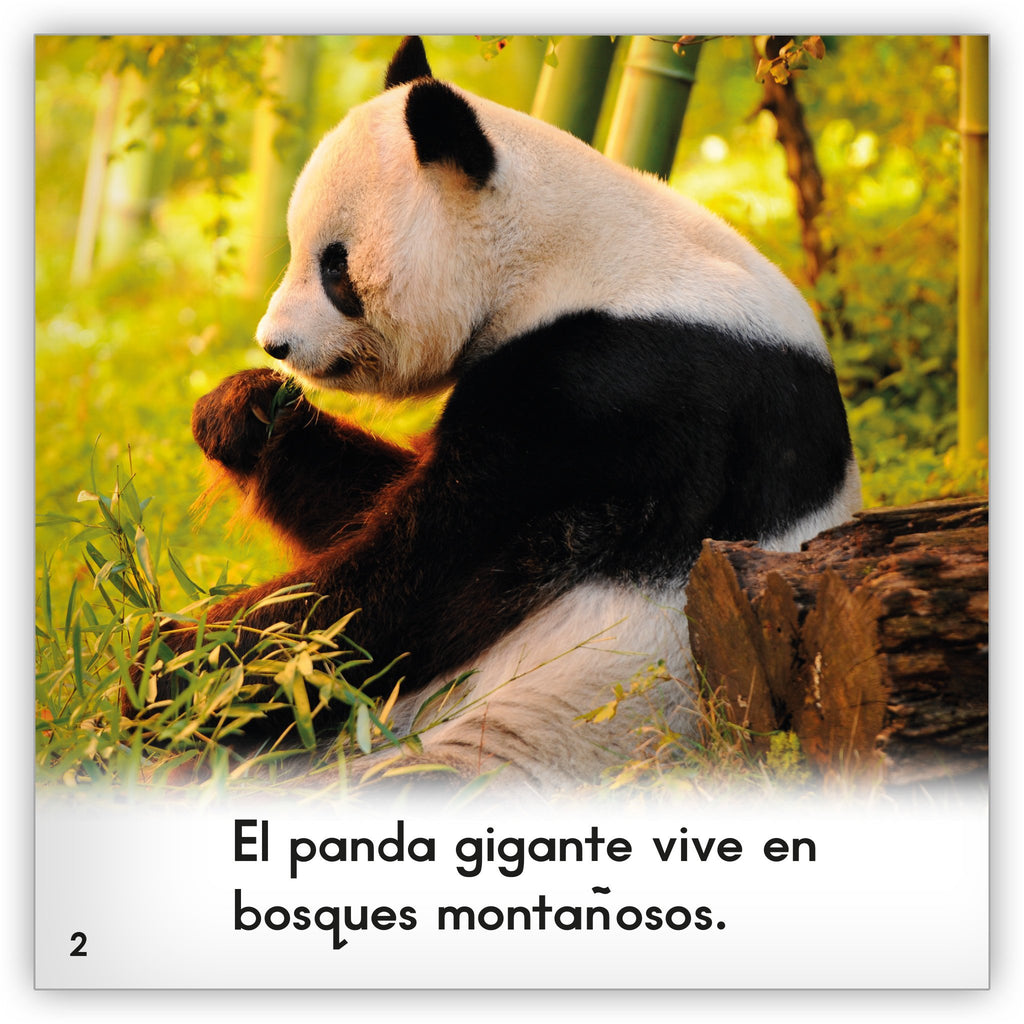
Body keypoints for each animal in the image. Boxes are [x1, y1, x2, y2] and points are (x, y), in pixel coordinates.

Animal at [176, 36, 861, 791]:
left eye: (336, 269)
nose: (276, 343)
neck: (562, 251)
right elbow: (369, 509)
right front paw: (242, 413)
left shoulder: (616, 386)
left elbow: (422, 577)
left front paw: (170, 665)